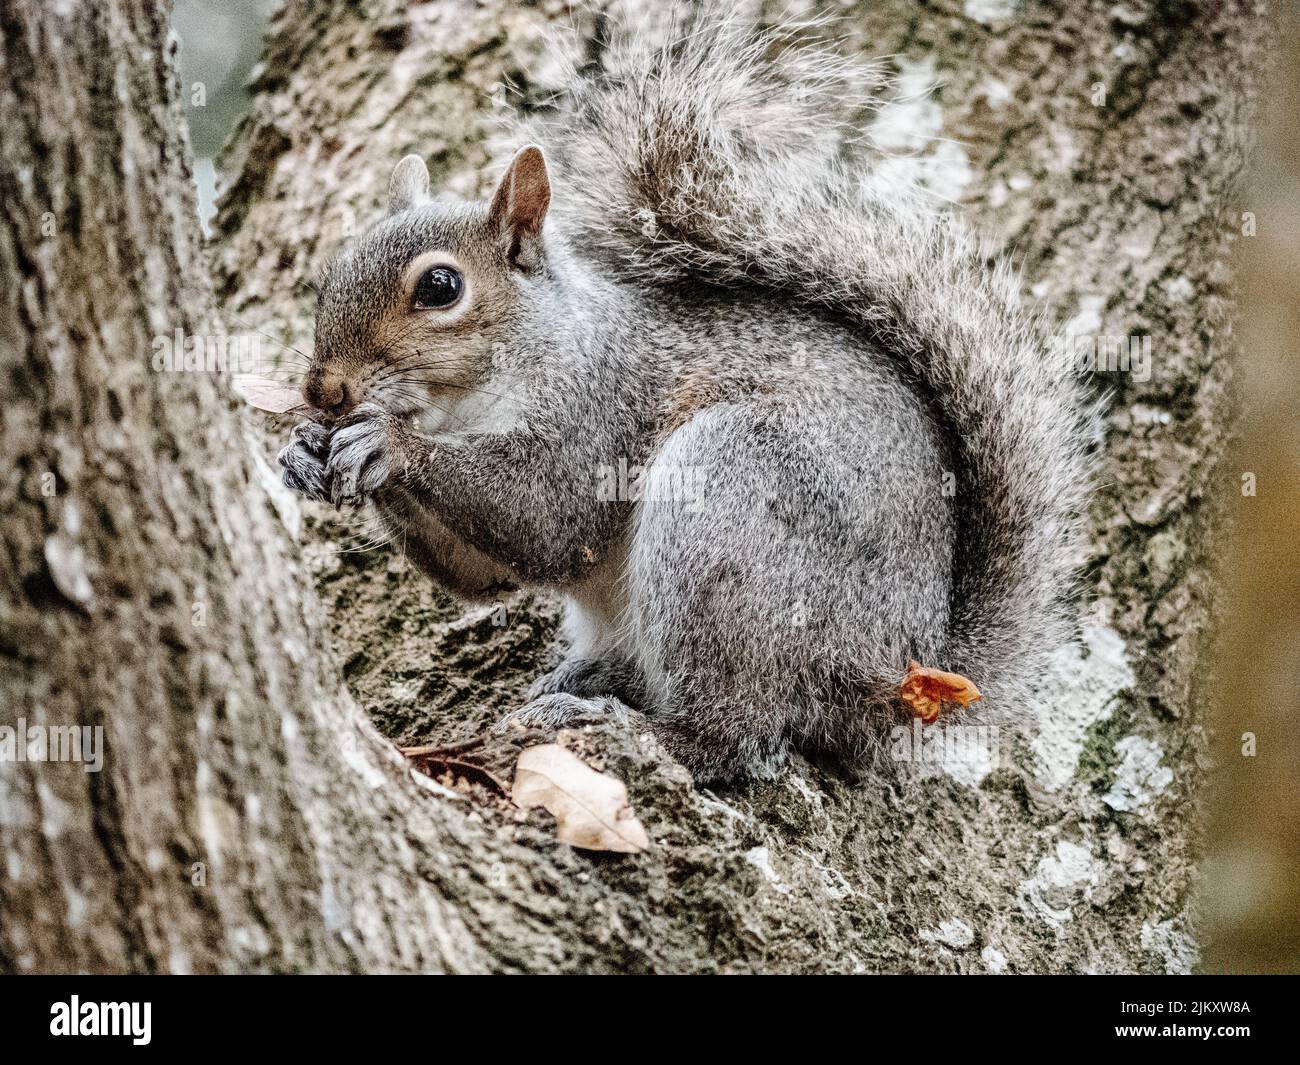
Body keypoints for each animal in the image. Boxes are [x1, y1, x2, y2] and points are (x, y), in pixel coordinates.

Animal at [278, 17, 1095, 783]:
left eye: (440, 287)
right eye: (333, 271)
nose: (324, 390)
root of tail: (902, 676)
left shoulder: (600, 410)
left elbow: (547, 519)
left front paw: (387, 444)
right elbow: (484, 578)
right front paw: (306, 454)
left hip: (733, 503)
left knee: (733, 733)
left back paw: (629, 725)